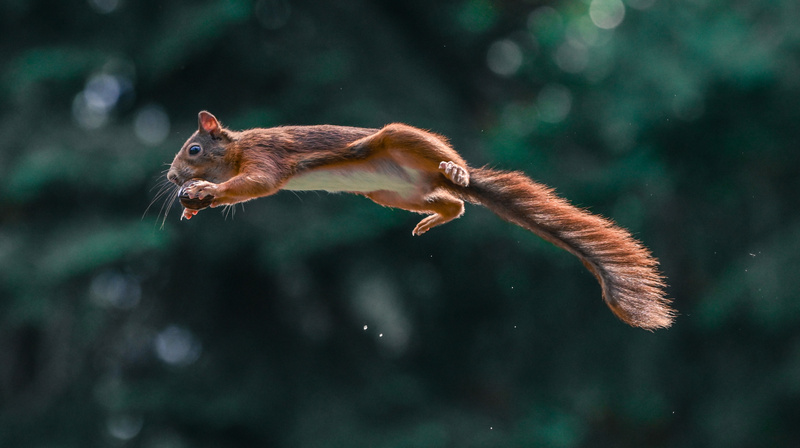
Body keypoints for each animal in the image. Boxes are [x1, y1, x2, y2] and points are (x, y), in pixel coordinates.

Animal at [167, 111, 674, 330]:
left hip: (403, 139)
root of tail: (435, 174)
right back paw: (436, 215)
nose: (171, 177)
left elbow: (256, 184)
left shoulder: (265, 158)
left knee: (453, 169)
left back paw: (458, 171)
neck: (236, 149)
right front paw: (192, 203)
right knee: (456, 206)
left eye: (194, 149)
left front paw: (207, 191)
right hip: (386, 194)